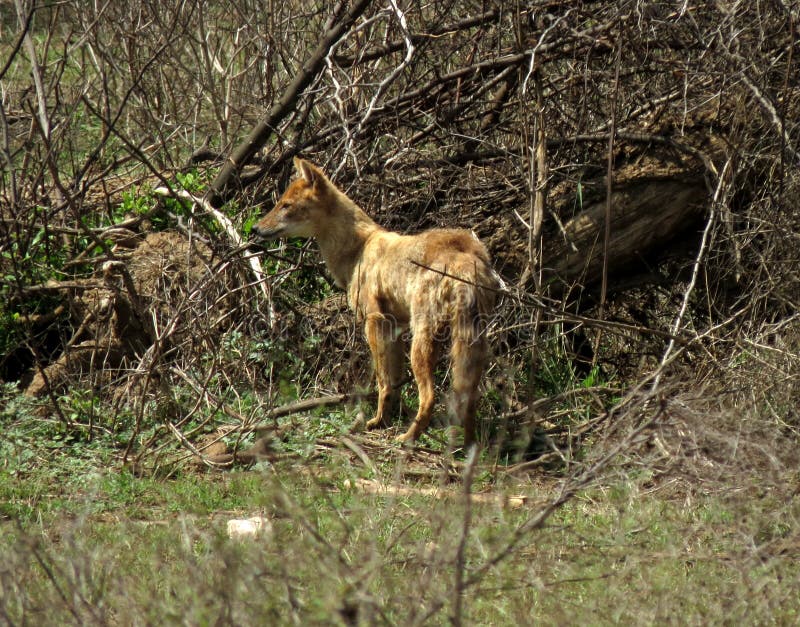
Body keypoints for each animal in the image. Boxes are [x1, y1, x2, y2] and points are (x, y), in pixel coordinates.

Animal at [251, 157, 502, 447]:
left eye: (286, 205)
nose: (255, 228)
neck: (357, 250)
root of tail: (468, 254)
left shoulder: (375, 321)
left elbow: (383, 382)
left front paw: (378, 422)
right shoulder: (395, 328)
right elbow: (395, 382)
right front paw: (393, 416)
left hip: (423, 341)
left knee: (429, 396)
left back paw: (408, 438)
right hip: (469, 343)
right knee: (468, 400)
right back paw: (469, 446)